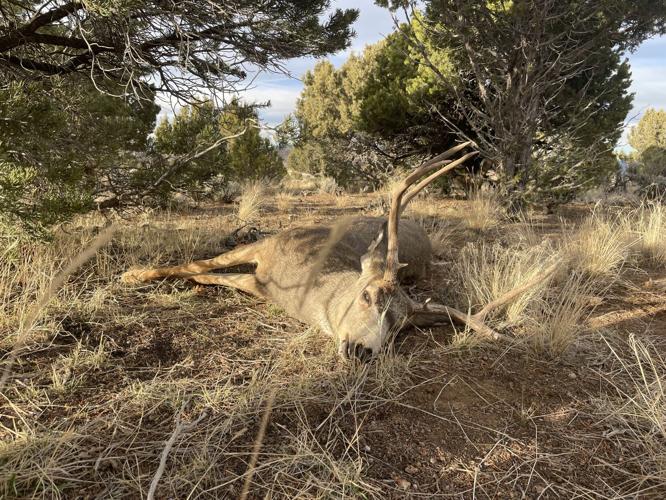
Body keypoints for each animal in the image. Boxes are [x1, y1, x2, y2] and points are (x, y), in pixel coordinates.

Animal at [122, 142, 553, 360]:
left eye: (401, 326)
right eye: (366, 295)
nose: (363, 350)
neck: (306, 286)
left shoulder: (262, 286)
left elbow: (209, 274)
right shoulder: (266, 246)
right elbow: (199, 263)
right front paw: (133, 274)